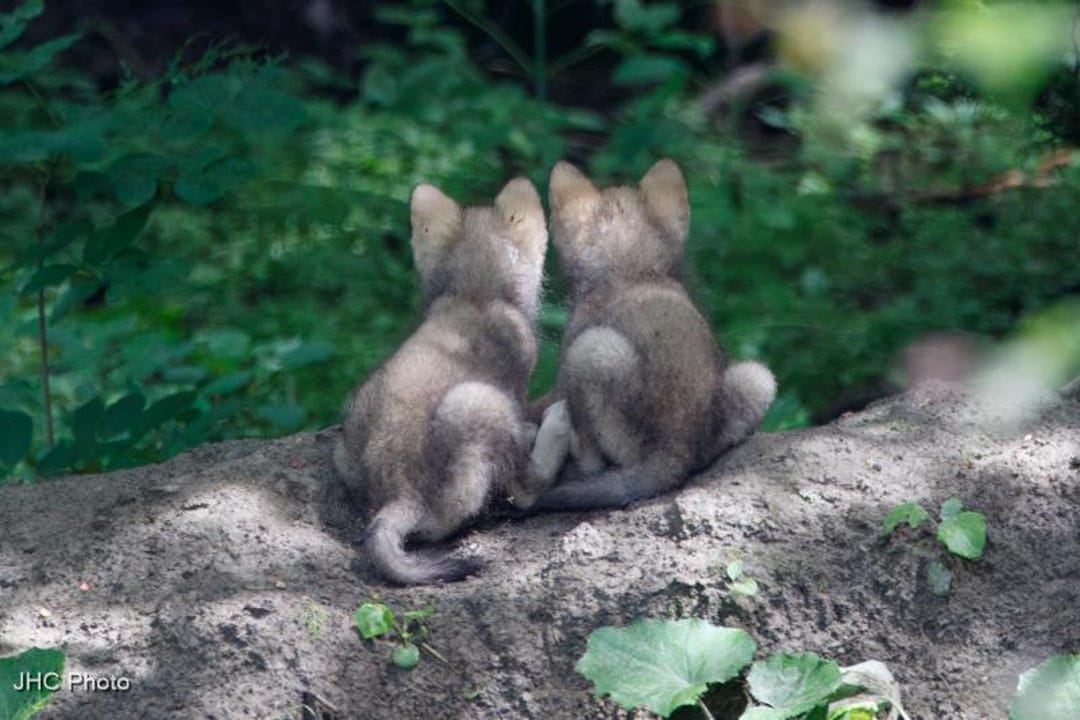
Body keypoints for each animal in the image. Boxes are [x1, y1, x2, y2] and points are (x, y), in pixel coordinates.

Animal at [526, 159, 776, 511]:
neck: (633, 270)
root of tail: (674, 452)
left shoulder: (566, 365)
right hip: (758, 378)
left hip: (592, 350)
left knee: (592, 461)